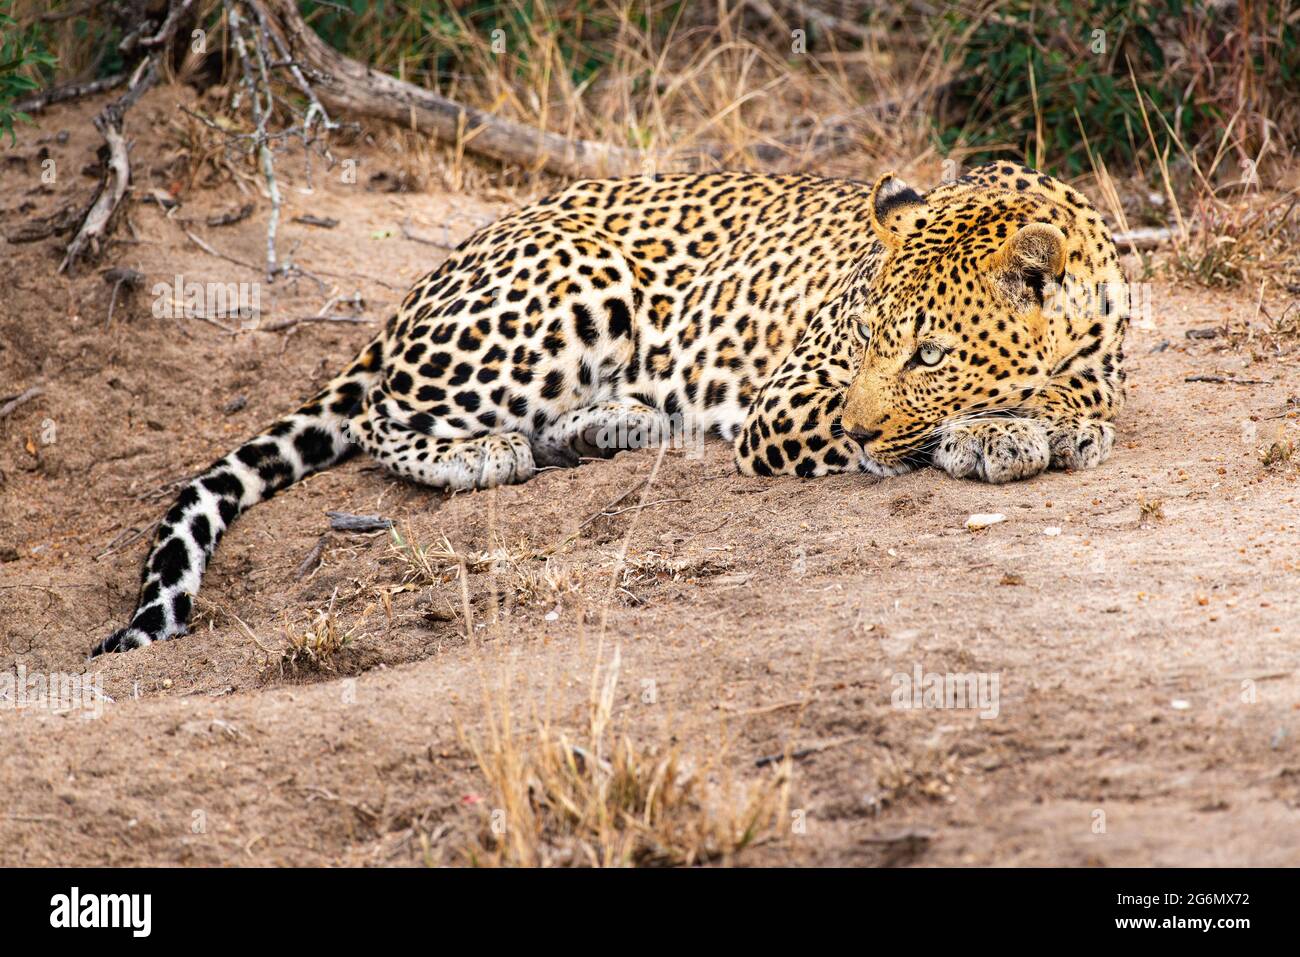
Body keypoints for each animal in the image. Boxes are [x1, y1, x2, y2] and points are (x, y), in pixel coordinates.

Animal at [92, 161, 1126, 656]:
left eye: (929, 353)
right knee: (386, 414)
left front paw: (1043, 417)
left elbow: (1087, 392)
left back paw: (614, 427)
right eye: (868, 334)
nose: (864, 428)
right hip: (577, 284)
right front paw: (996, 431)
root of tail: (422, 284)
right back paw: (488, 454)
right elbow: (913, 428)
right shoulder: (793, 402)